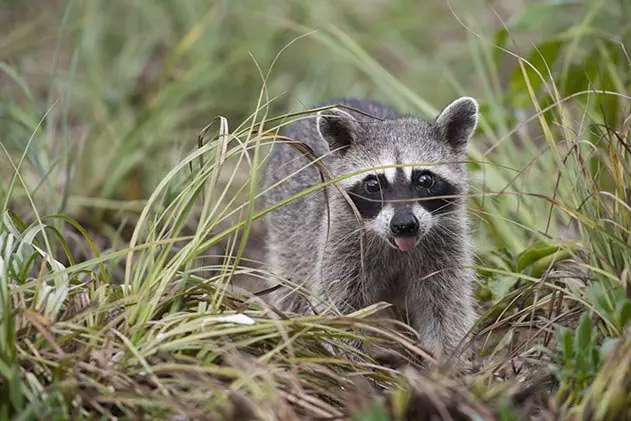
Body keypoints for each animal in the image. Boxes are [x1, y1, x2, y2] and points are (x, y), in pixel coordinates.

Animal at [260, 96, 478, 360]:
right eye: (373, 184)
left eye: (425, 180)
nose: (404, 225)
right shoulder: (339, 243)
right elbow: (339, 307)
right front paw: (353, 361)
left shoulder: (446, 244)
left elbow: (447, 306)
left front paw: (449, 360)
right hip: (285, 234)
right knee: (290, 282)